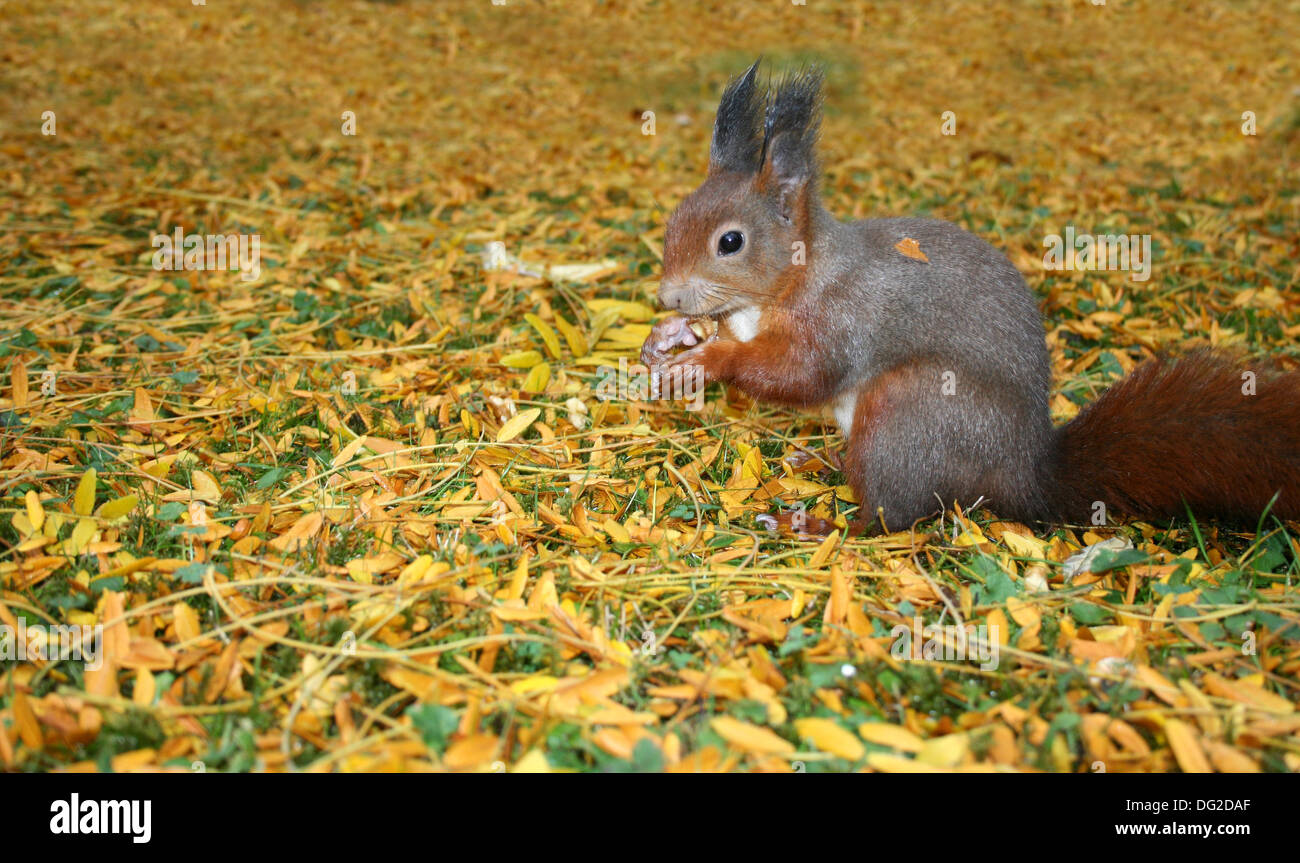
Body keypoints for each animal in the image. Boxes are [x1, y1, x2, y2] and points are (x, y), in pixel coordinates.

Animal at [640, 60, 1300, 534]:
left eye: (731, 242)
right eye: (672, 219)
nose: (668, 297)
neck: (788, 285)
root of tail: (1023, 477)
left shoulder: (843, 319)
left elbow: (800, 373)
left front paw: (707, 361)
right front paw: (668, 341)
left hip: (911, 413)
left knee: (888, 518)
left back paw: (815, 522)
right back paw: (820, 463)